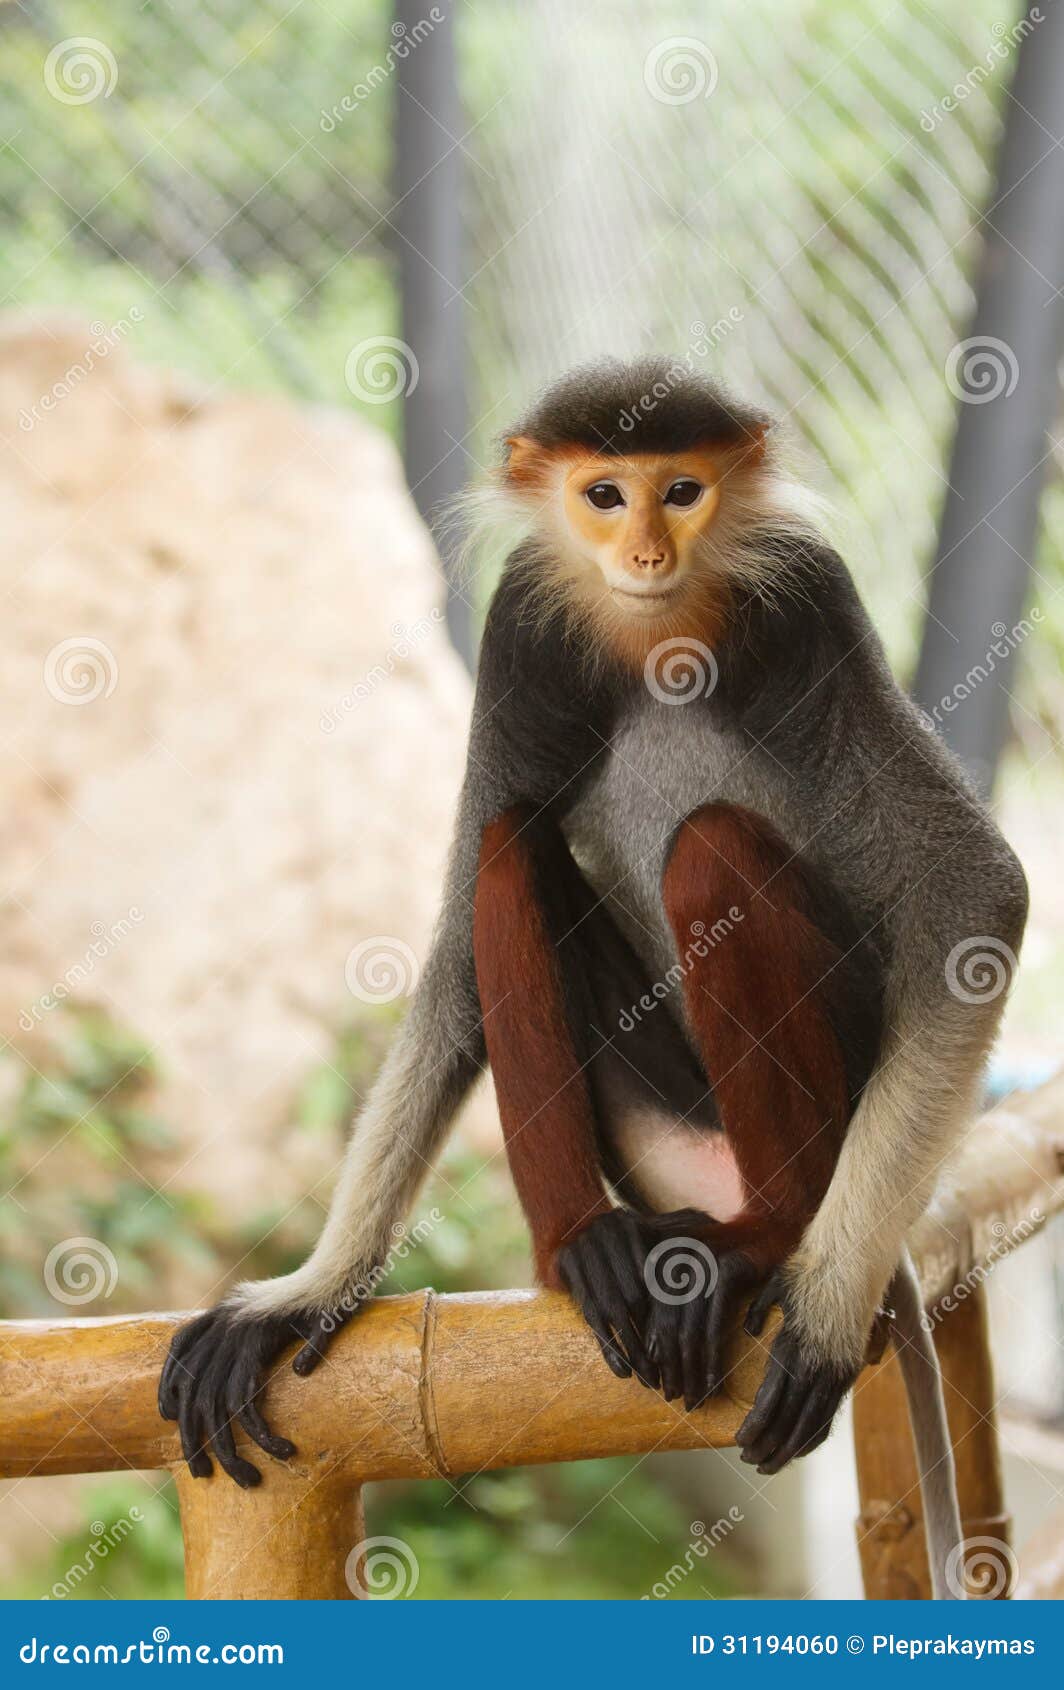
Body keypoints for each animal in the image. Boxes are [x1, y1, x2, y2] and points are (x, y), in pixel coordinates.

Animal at [160, 357, 1026, 1596]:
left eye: (682, 490)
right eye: (604, 496)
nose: (648, 551)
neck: (654, 629)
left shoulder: (810, 606)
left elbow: (974, 901)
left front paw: (821, 1308)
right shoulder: (522, 621)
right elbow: (452, 955)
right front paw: (310, 1287)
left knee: (710, 846)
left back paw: (767, 1237)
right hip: (649, 1124)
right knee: (510, 840)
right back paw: (583, 1250)